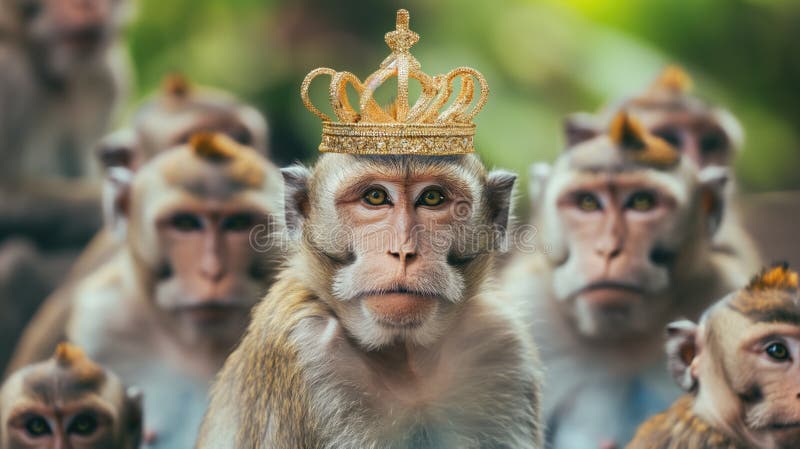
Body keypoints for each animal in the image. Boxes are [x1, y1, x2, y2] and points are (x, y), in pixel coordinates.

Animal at [195, 152, 542, 449]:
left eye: (433, 198)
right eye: (375, 197)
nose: (403, 251)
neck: (405, 360)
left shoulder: (500, 343)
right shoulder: (300, 343)